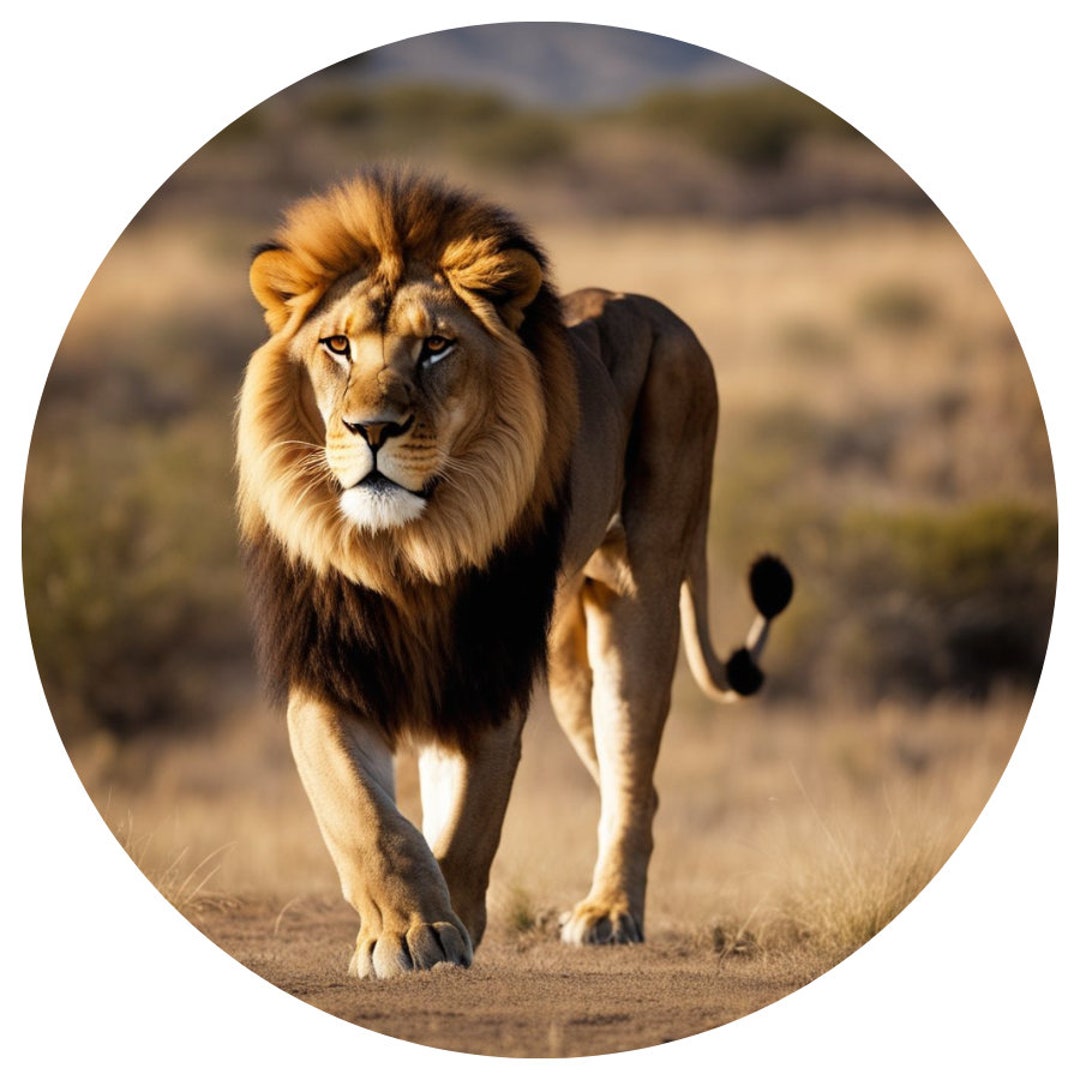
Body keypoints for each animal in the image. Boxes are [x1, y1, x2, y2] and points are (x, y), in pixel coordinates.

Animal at [236, 168, 792, 978]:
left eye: (436, 347)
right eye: (336, 346)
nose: (372, 429)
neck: (409, 547)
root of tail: (651, 306)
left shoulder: (486, 672)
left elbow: (472, 819)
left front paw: (444, 927)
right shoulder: (331, 666)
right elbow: (370, 819)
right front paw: (408, 930)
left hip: (641, 589)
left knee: (632, 771)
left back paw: (609, 911)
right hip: (561, 654)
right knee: (629, 781)